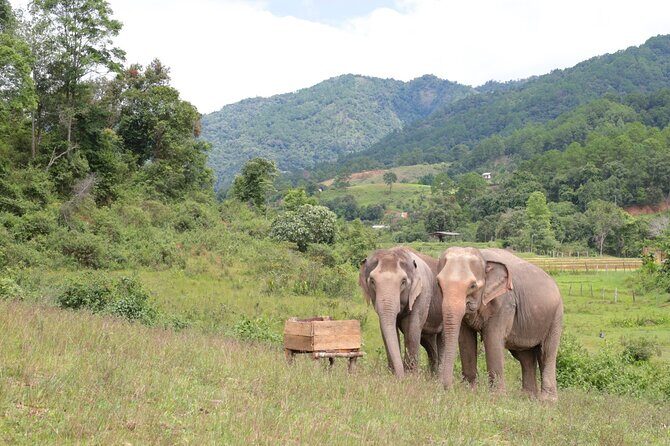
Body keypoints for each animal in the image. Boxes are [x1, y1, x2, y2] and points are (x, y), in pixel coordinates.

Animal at [359, 247, 443, 378]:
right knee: (429, 342)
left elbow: (412, 330)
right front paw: (393, 374)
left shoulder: (422, 294)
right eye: (372, 281)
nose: (400, 376)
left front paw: (410, 377)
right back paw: (432, 377)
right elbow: (387, 331)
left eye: (403, 281)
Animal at [436, 247, 563, 401]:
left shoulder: (504, 303)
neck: (483, 258)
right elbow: (466, 340)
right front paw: (468, 392)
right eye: (438, 284)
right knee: (525, 357)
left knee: (546, 352)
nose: (446, 389)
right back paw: (527, 397)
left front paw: (496, 398)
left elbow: (492, 339)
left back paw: (547, 401)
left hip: (556, 316)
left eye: (472, 285)